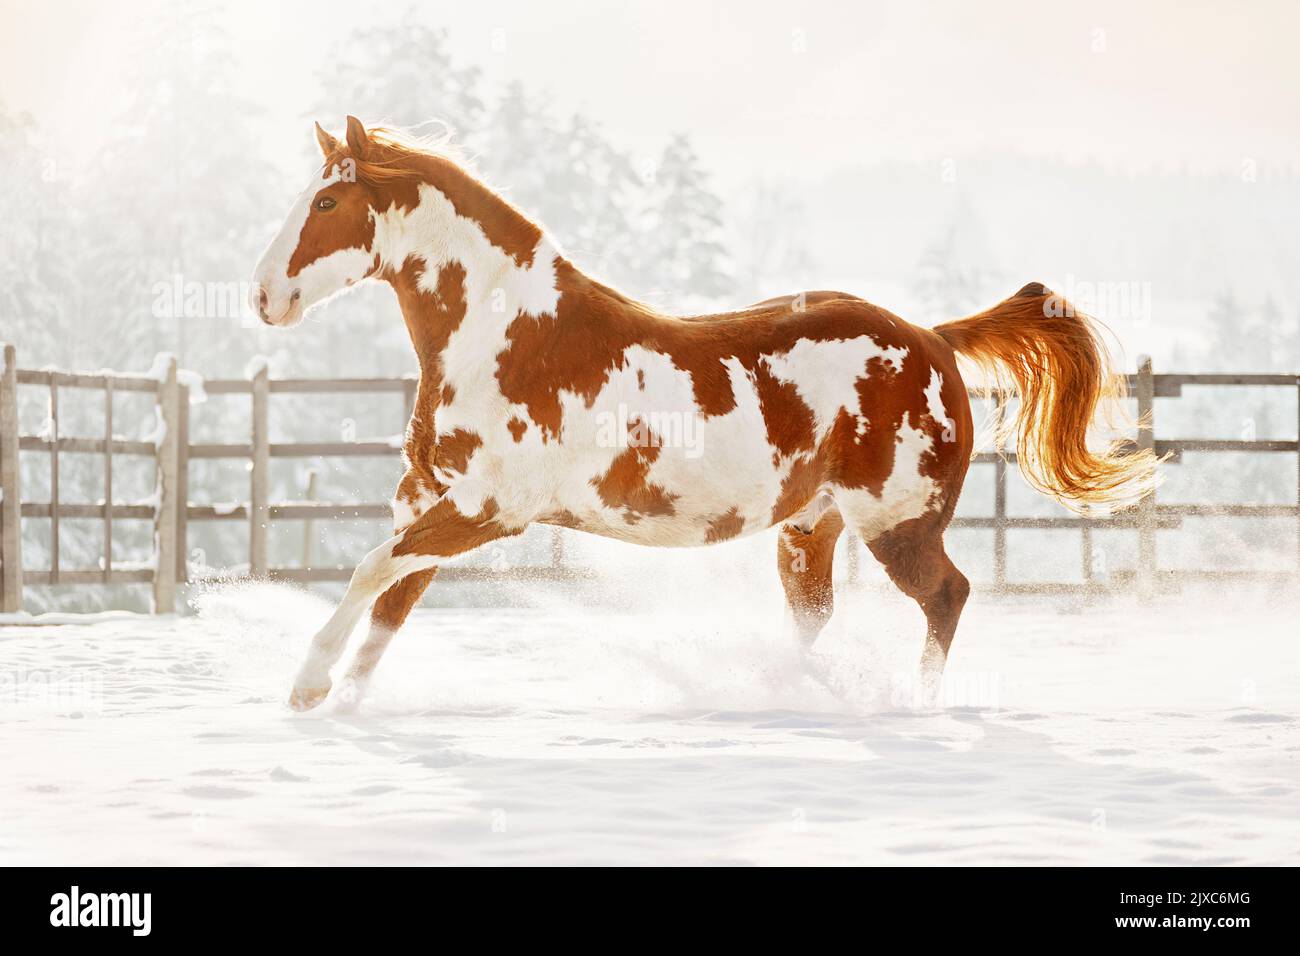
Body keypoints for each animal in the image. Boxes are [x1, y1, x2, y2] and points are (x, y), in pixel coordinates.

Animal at [251, 116, 1158, 712]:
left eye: (326, 205)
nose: (263, 296)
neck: (507, 336)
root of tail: (932, 340)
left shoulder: (488, 509)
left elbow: (371, 570)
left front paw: (305, 686)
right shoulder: (429, 497)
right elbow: (392, 599)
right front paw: (342, 704)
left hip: (897, 523)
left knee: (946, 595)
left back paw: (917, 708)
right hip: (810, 527)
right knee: (815, 614)